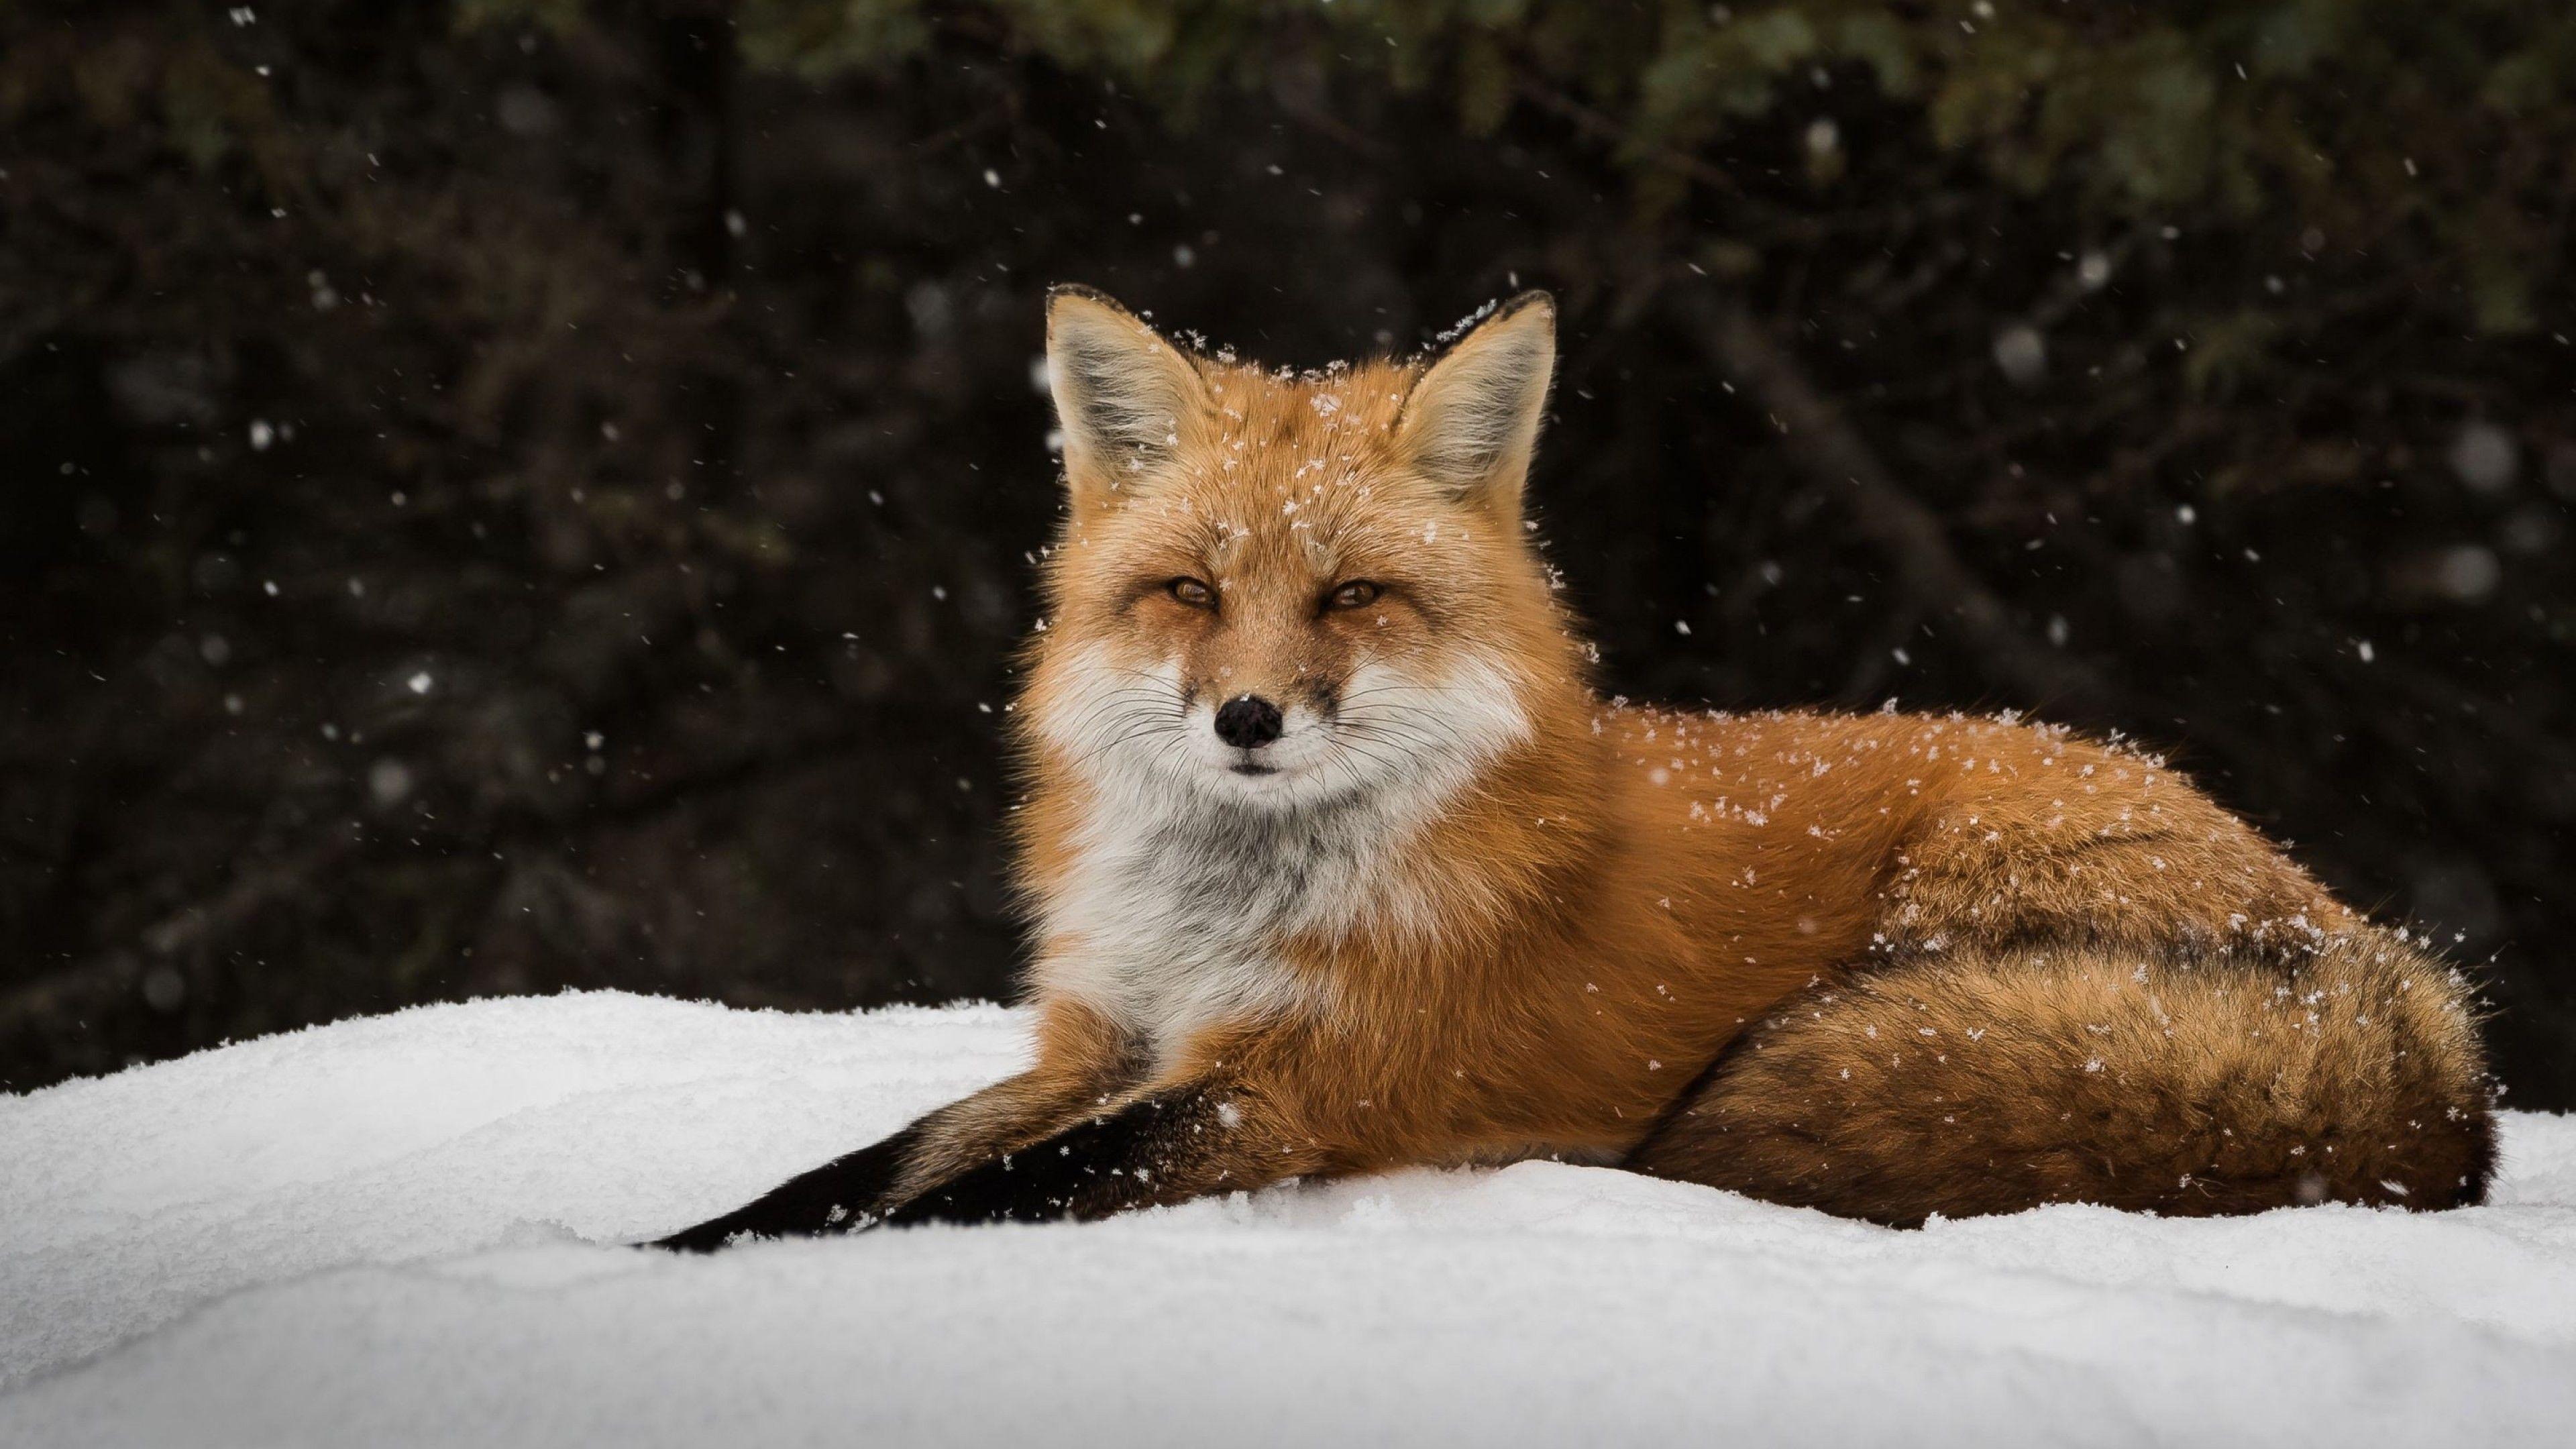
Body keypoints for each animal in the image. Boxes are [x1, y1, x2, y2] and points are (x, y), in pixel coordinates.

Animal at [657, 286, 2493, 1248]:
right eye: (1189, 592)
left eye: (1351, 597)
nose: (1246, 719)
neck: (1229, 912)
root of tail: (2407, 1003)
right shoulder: (1099, 1039)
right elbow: (858, 1170)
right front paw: (658, 1246)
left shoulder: (1293, 1090)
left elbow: (962, 1201)